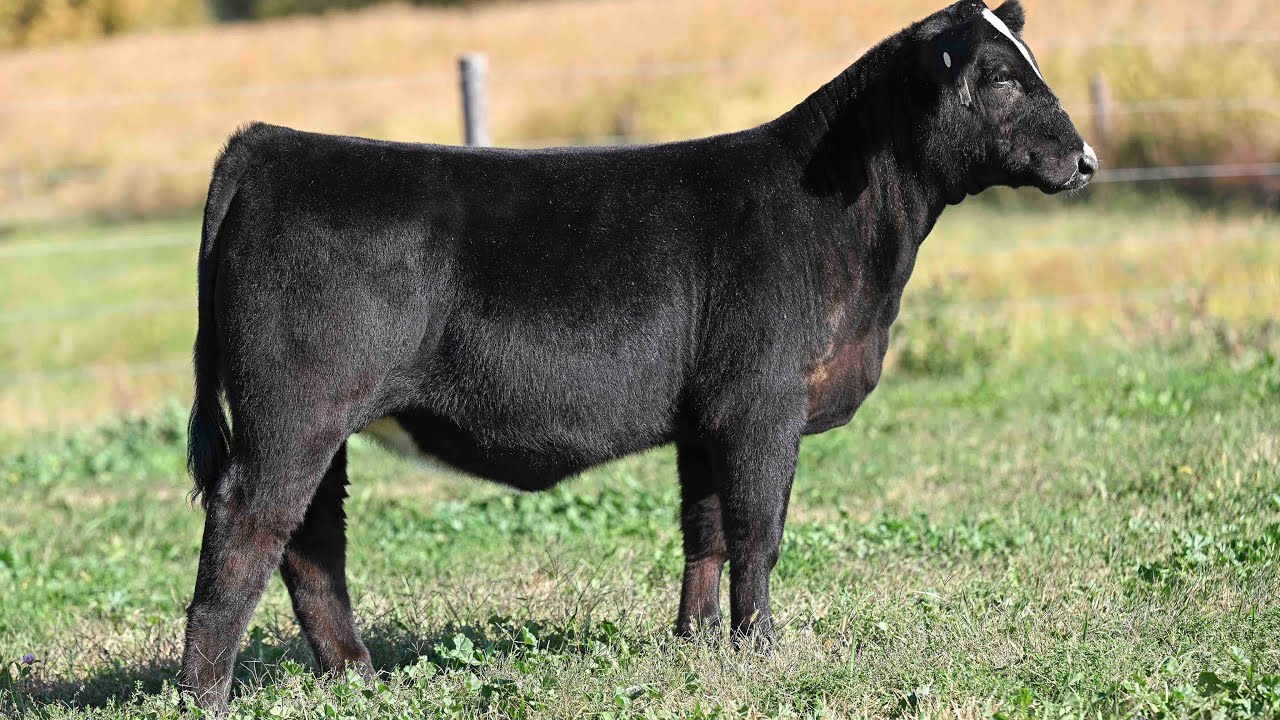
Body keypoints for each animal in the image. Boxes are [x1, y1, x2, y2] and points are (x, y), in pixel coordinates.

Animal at [179, 0, 1096, 711]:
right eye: (1002, 79)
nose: (1085, 159)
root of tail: (270, 142)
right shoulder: (762, 405)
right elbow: (759, 532)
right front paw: (761, 652)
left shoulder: (707, 417)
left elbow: (707, 533)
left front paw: (697, 646)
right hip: (294, 413)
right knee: (247, 528)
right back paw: (205, 693)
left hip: (320, 423)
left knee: (309, 542)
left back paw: (357, 678)